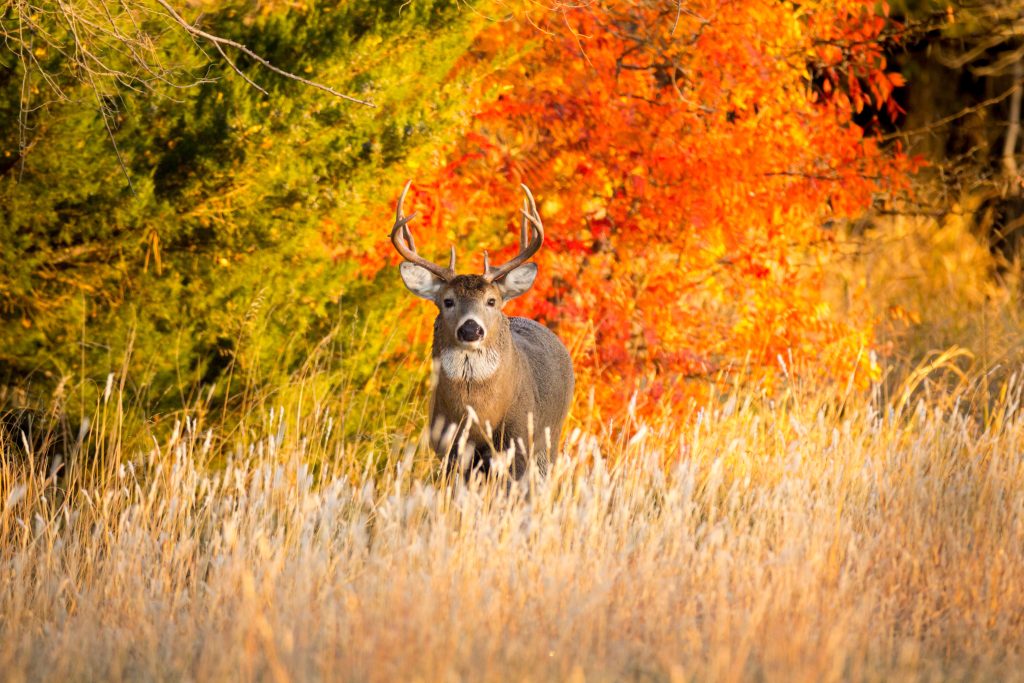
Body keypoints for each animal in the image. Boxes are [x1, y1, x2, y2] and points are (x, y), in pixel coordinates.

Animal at [390, 181, 574, 480]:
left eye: (491, 301)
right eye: (447, 301)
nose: (471, 329)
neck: (477, 415)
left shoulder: (518, 441)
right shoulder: (449, 448)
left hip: (550, 437)